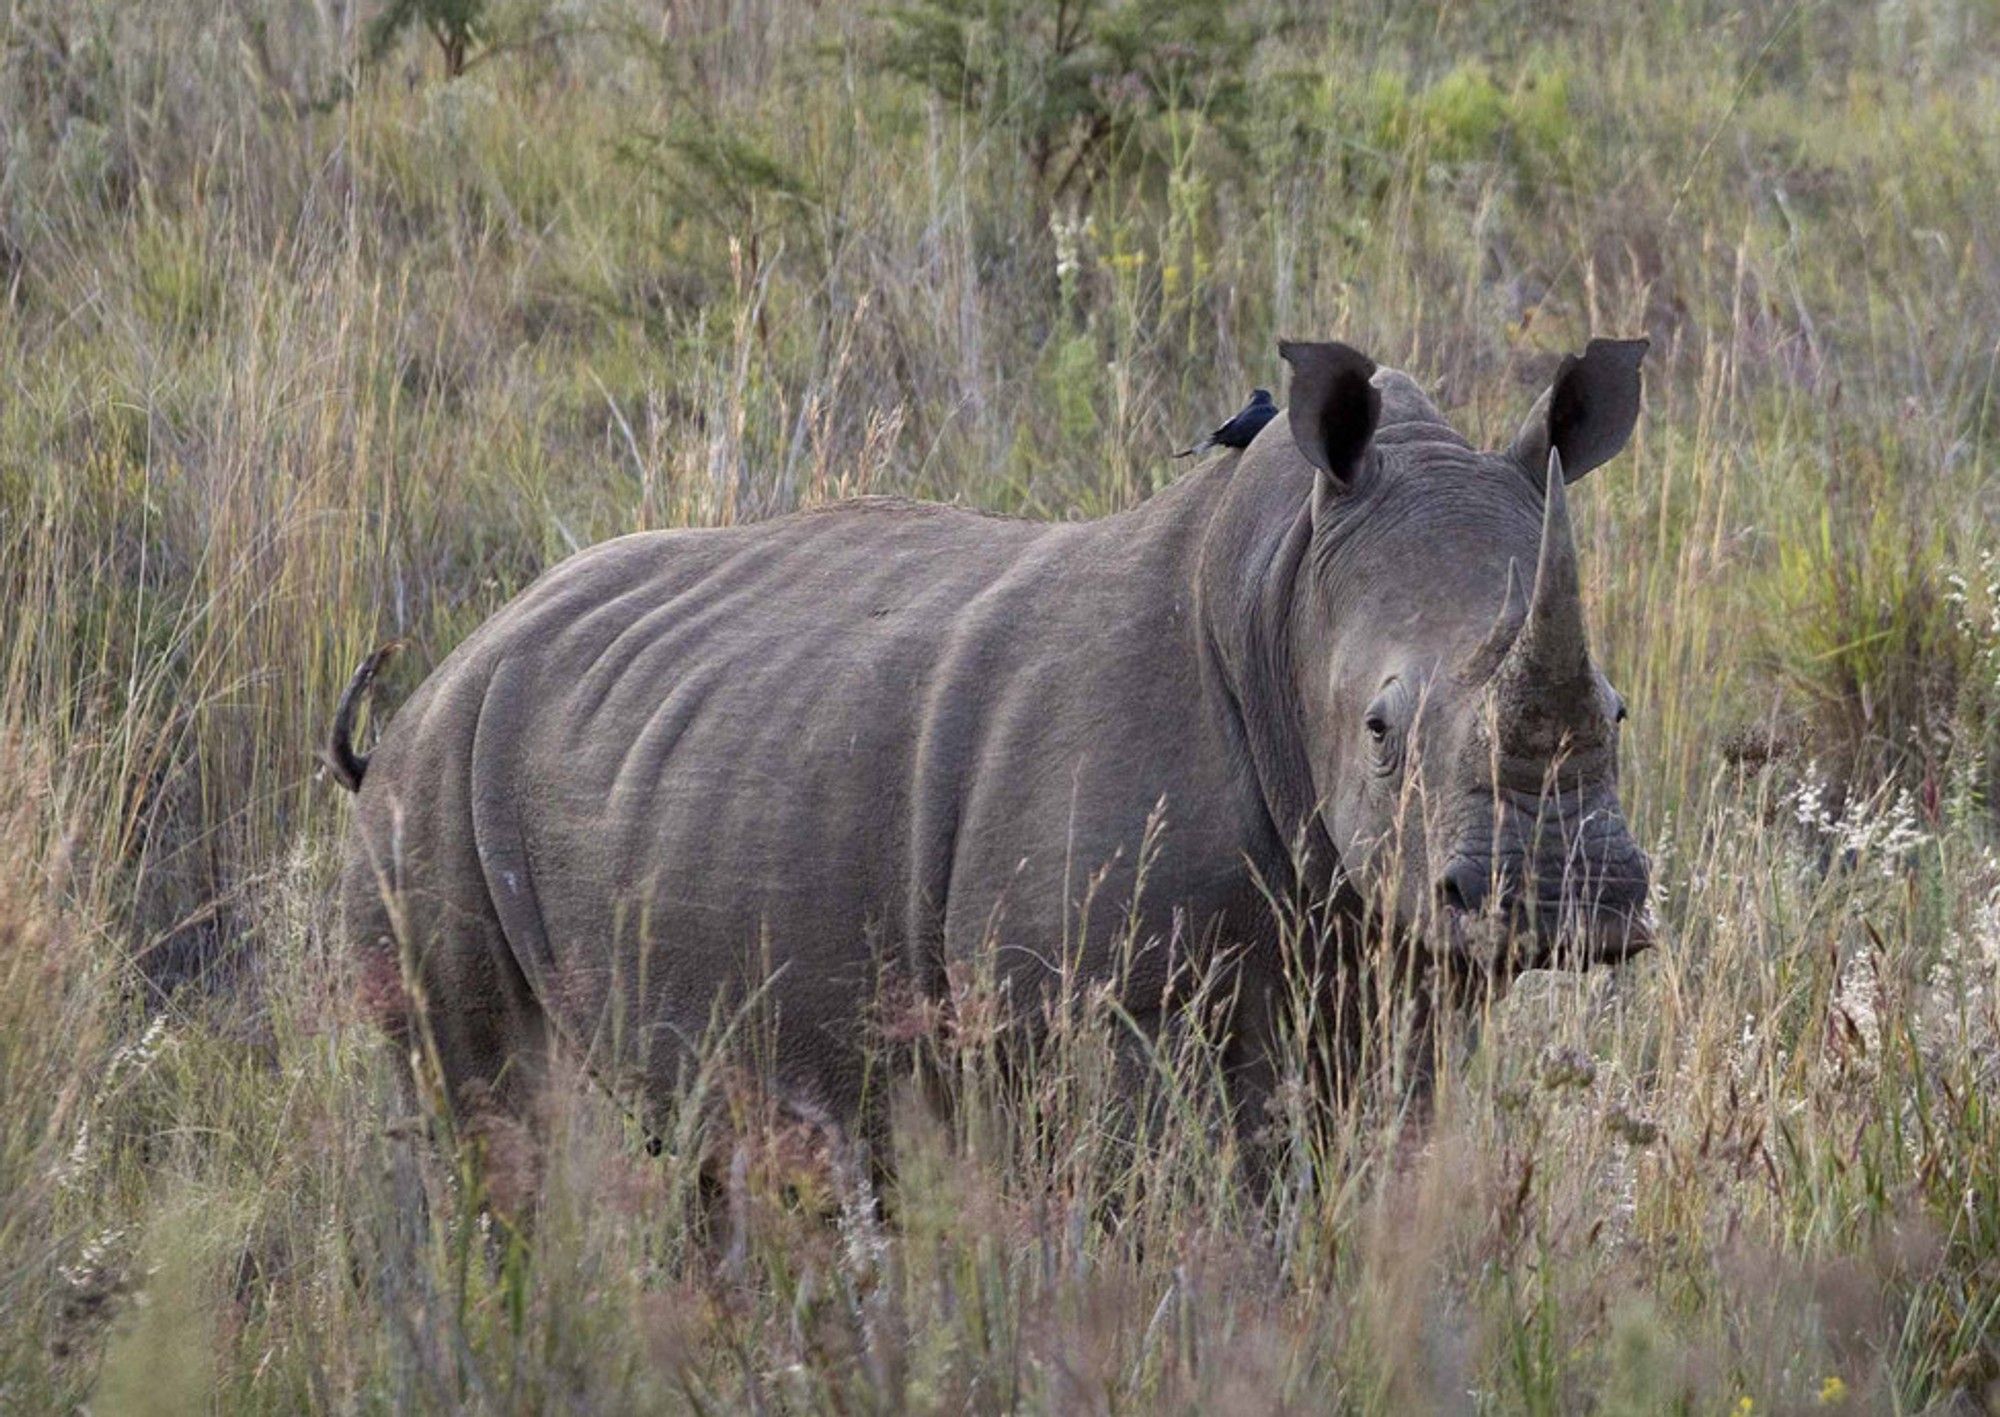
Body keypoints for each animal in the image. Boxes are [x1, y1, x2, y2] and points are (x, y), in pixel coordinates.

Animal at [329, 338, 1652, 1148]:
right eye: (1377, 727)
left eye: (1618, 711)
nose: (1564, 900)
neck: (1282, 594)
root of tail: (438, 678)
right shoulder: (1085, 1011)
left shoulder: (1393, 973)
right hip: (428, 792)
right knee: (498, 1120)